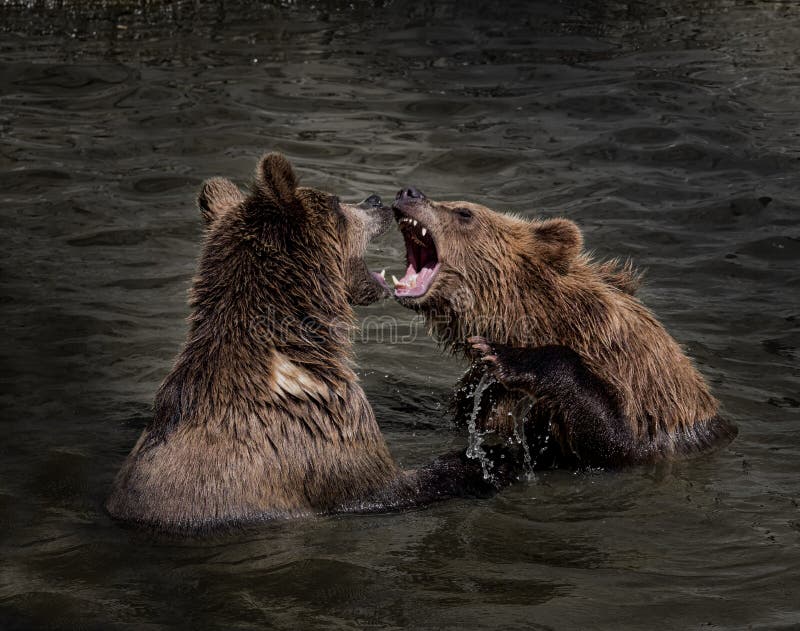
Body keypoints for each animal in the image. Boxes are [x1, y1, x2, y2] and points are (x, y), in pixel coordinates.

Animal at [106, 155, 511, 533]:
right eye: (336, 203)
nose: (375, 199)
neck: (287, 351)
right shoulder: (322, 427)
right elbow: (386, 486)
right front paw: (485, 462)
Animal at [389, 186, 737, 469]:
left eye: (464, 212)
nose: (409, 193)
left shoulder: (643, 394)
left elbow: (615, 439)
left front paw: (503, 356)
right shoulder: (482, 395)